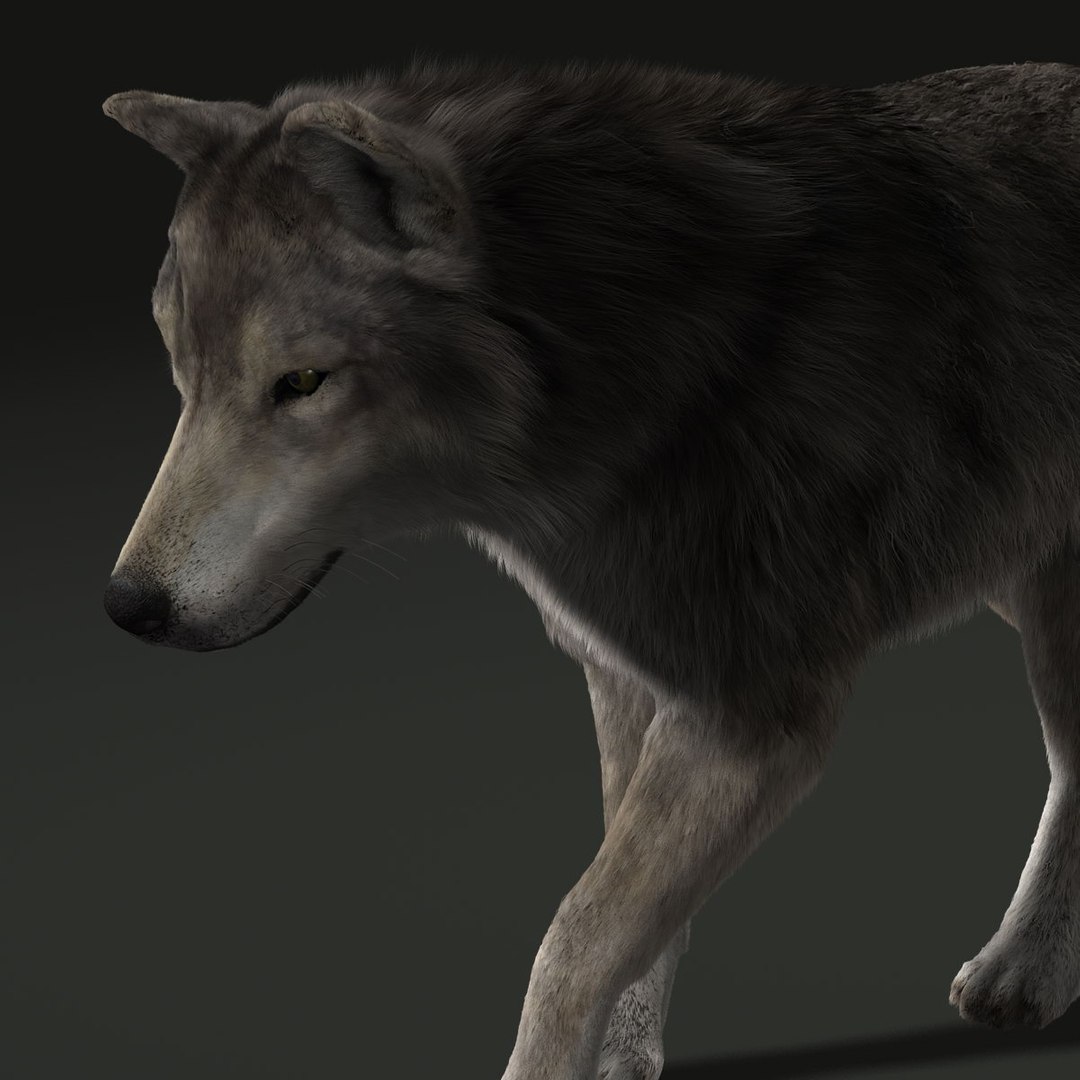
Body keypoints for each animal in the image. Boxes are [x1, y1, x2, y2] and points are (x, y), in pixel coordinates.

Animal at [101, 57, 1080, 1079]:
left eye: (300, 383)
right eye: (181, 368)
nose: (129, 606)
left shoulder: (754, 715)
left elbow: (576, 936)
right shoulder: (628, 675)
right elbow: (635, 918)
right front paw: (624, 1054)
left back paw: (1024, 969)